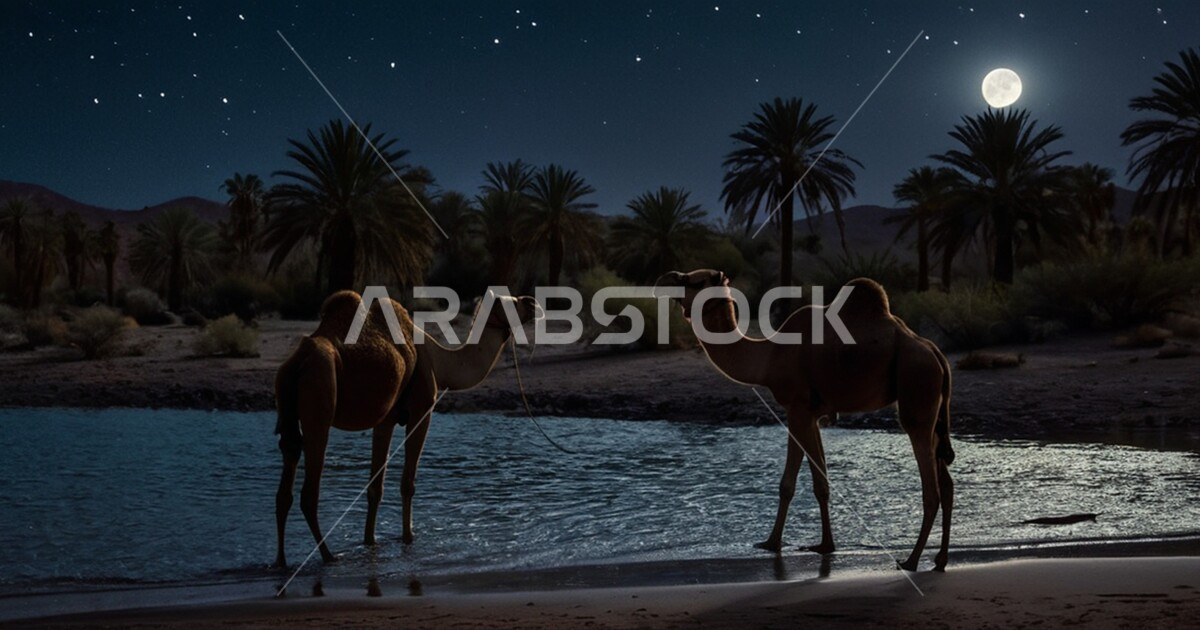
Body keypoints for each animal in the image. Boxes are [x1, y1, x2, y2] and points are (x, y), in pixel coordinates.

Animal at [272, 289, 540, 567]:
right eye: (509, 302)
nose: (532, 302)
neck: (439, 362)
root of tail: (298, 361)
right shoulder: (421, 410)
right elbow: (407, 483)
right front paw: (408, 538)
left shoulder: (385, 419)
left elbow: (375, 488)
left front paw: (370, 542)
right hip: (320, 397)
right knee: (309, 490)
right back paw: (328, 556)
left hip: (288, 406)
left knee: (287, 472)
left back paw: (280, 561)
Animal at [655, 270, 955, 571]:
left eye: (694, 280)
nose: (663, 280)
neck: (769, 357)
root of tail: (936, 354)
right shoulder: (813, 414)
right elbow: (821, 483)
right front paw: (824, 545)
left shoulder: (796, 408)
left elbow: (787, 484)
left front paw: (771, 543)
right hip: (932, 406)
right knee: (946, 482)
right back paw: (939, 559)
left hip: (916, 385)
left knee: (931, 488)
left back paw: (911, 560)